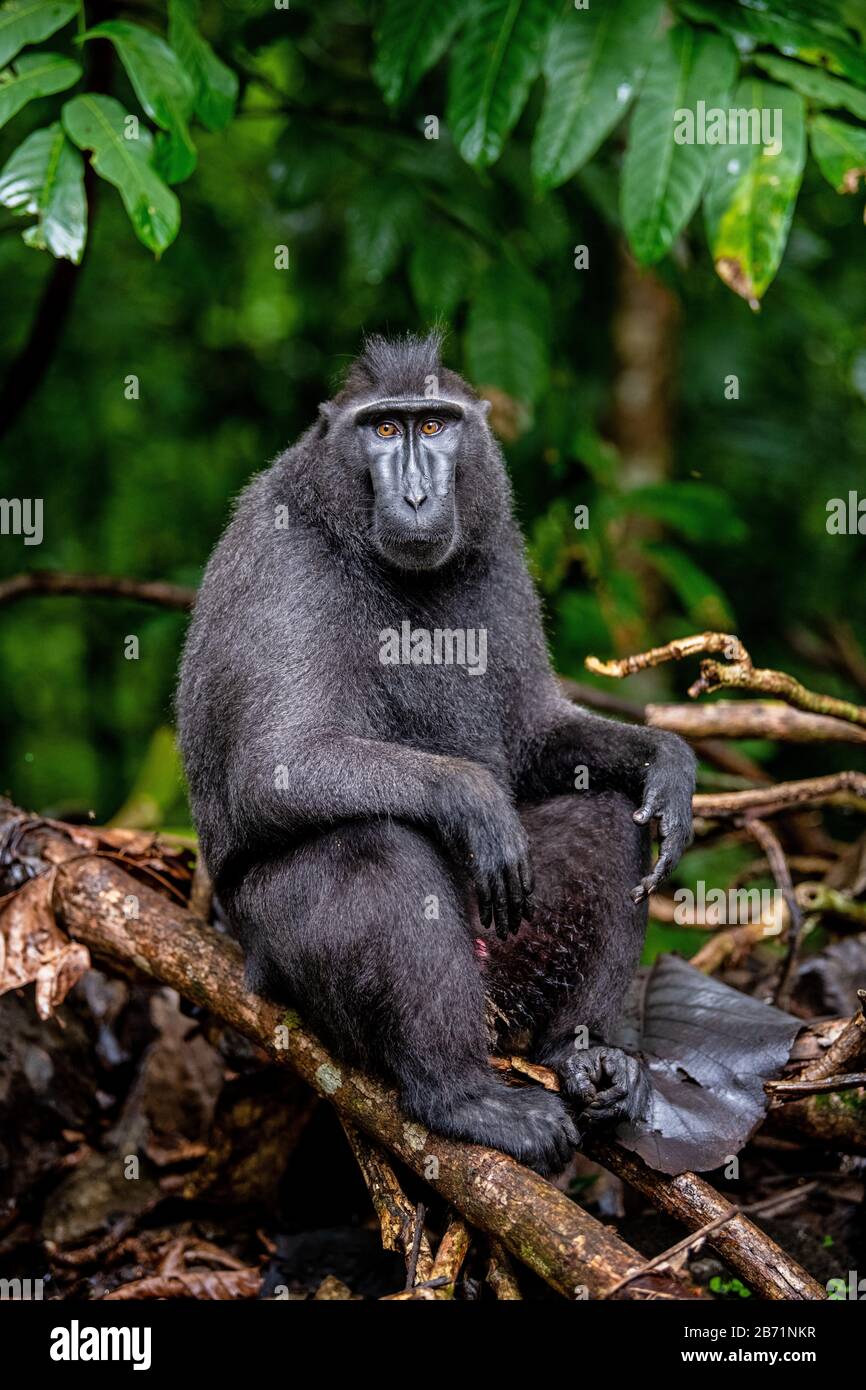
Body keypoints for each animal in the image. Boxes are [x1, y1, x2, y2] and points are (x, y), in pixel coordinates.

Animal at [177, 333, 695, 1175]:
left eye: (436, 425)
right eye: (386, 430)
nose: (419, 495)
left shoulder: (501, 546)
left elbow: (535, 737)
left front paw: (668, 764)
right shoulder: (284, 558)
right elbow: (273, 767)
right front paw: (470, 797)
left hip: (505, 950)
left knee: (605, 814)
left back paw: (580, 1055)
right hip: (277, 957)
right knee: (375, 846)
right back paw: (459, 1096)